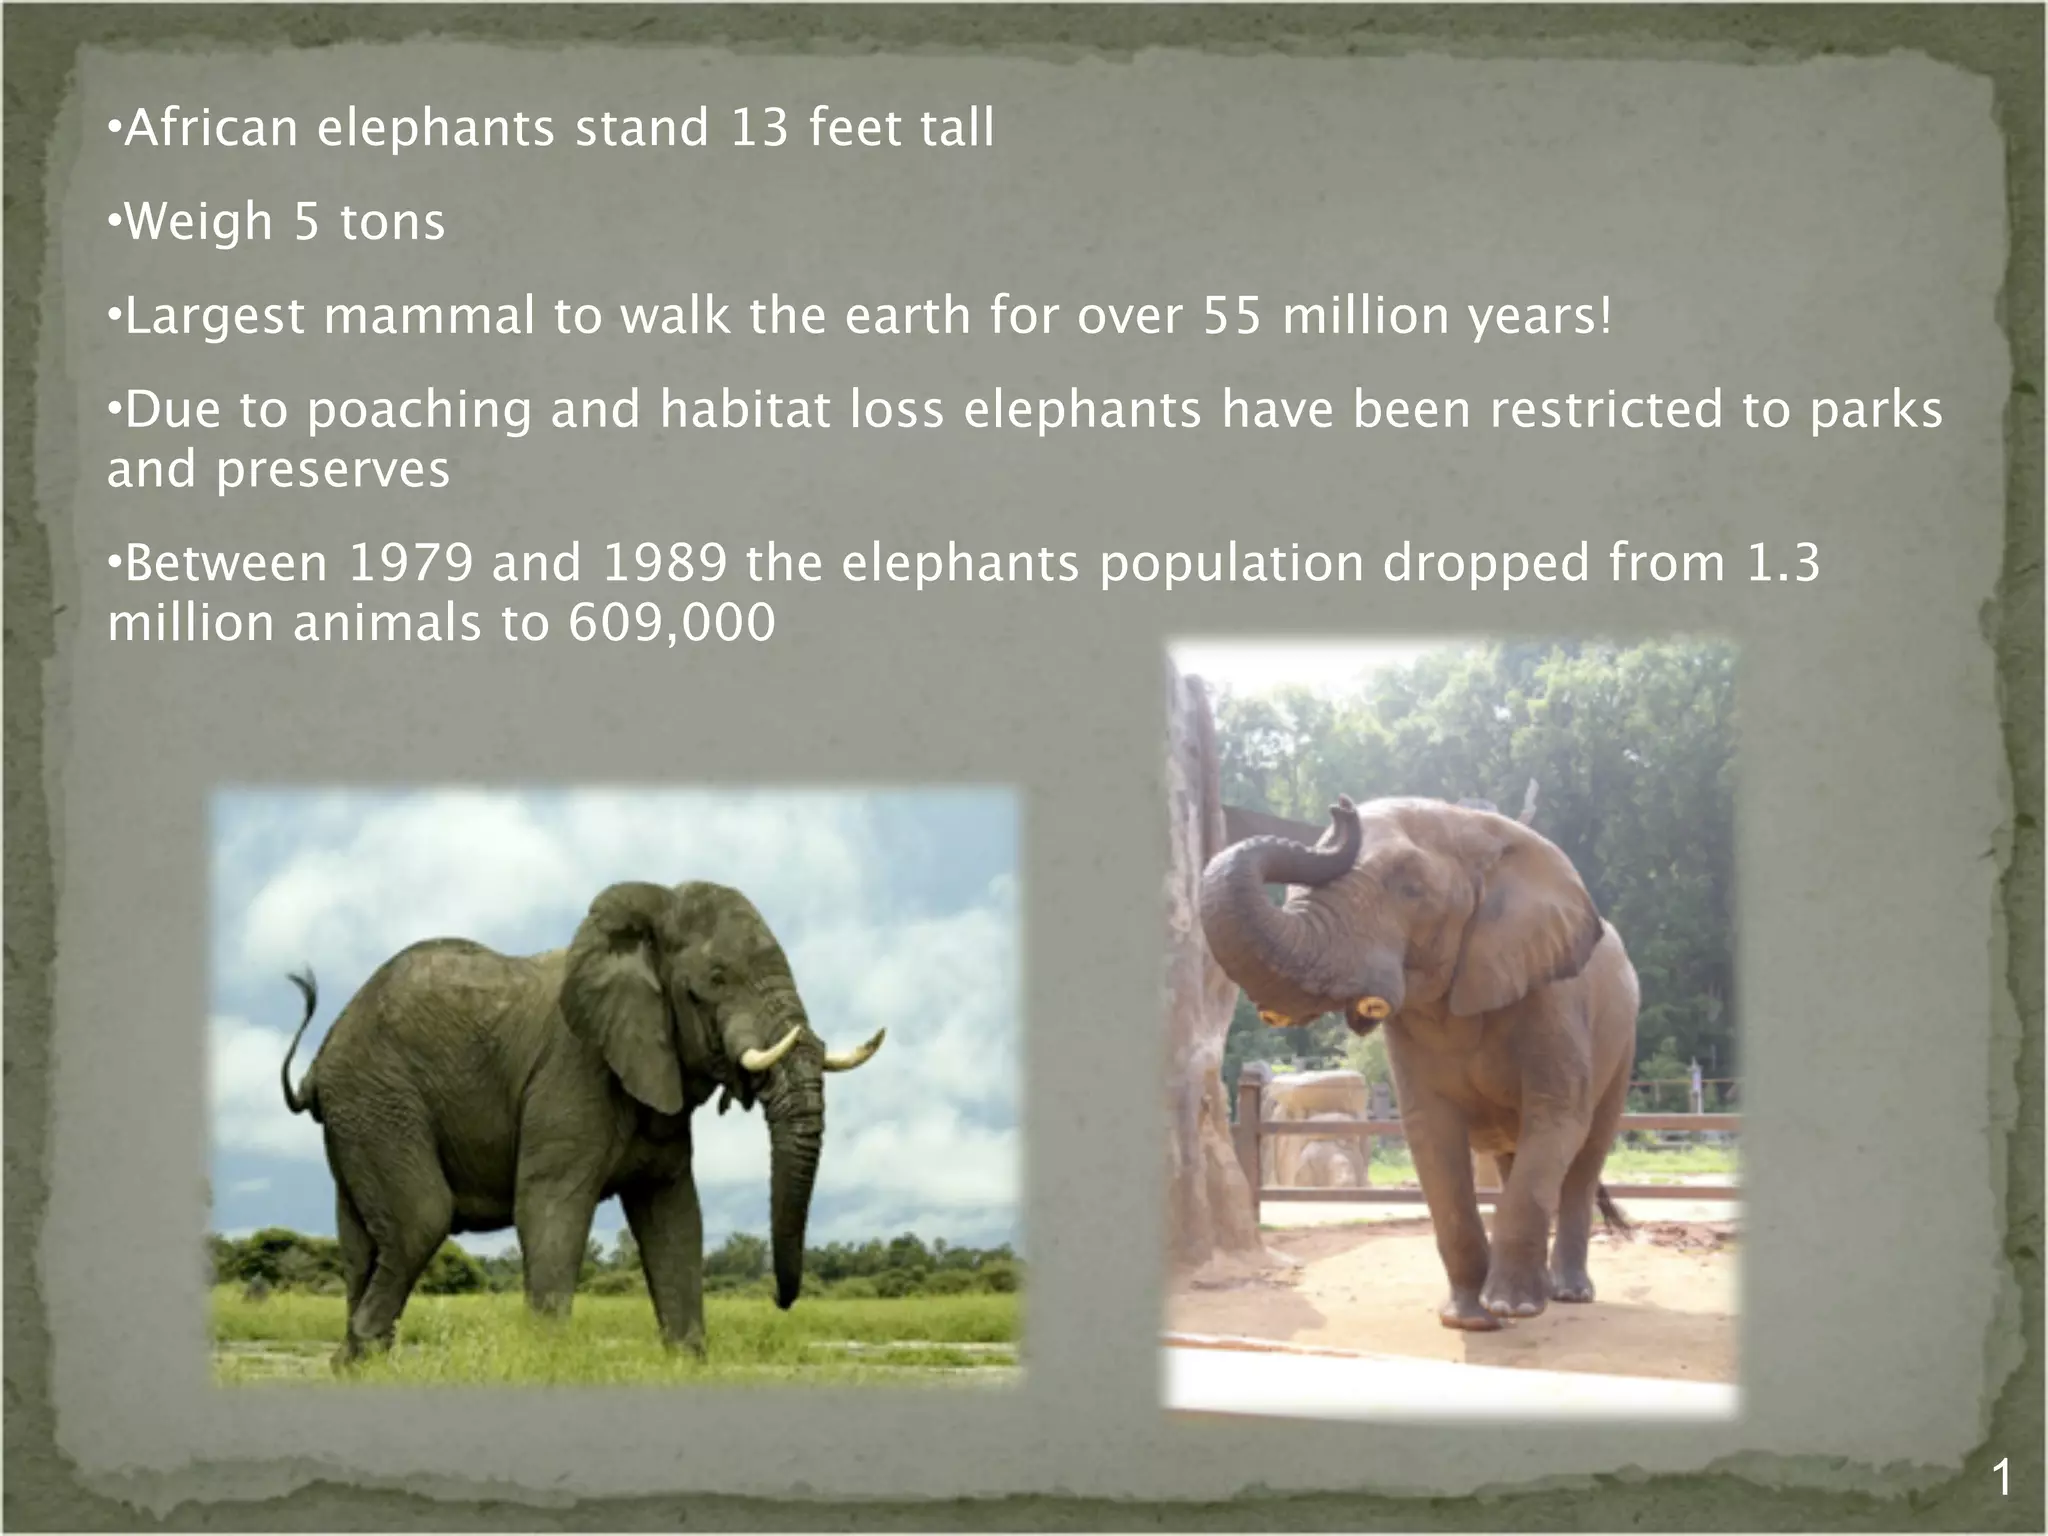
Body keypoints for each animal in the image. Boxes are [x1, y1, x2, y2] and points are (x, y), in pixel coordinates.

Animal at [278, 879, 883, 1364]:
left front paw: (687, 1364)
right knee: (420, 1220)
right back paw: (362, 1356)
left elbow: (675, 1217)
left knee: (362, 1241)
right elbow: (549, 1208)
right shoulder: (572, 1073)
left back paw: (356, 1367)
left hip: (359, 1114)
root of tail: (320, 1058)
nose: (781, 1300)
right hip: (378, 1098)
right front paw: (547, 1363)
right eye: (716, 978)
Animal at [1200, 795, 1637, 1330]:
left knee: (1585, 1154)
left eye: (1411, 888)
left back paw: (1568, 1295)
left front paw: (1511, 1308)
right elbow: (1431, 1133)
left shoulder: (1554, 996)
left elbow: (1557, 1116)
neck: (1476, 826)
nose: (1341, 808)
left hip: (1622, 1041)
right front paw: (1471, 1320)